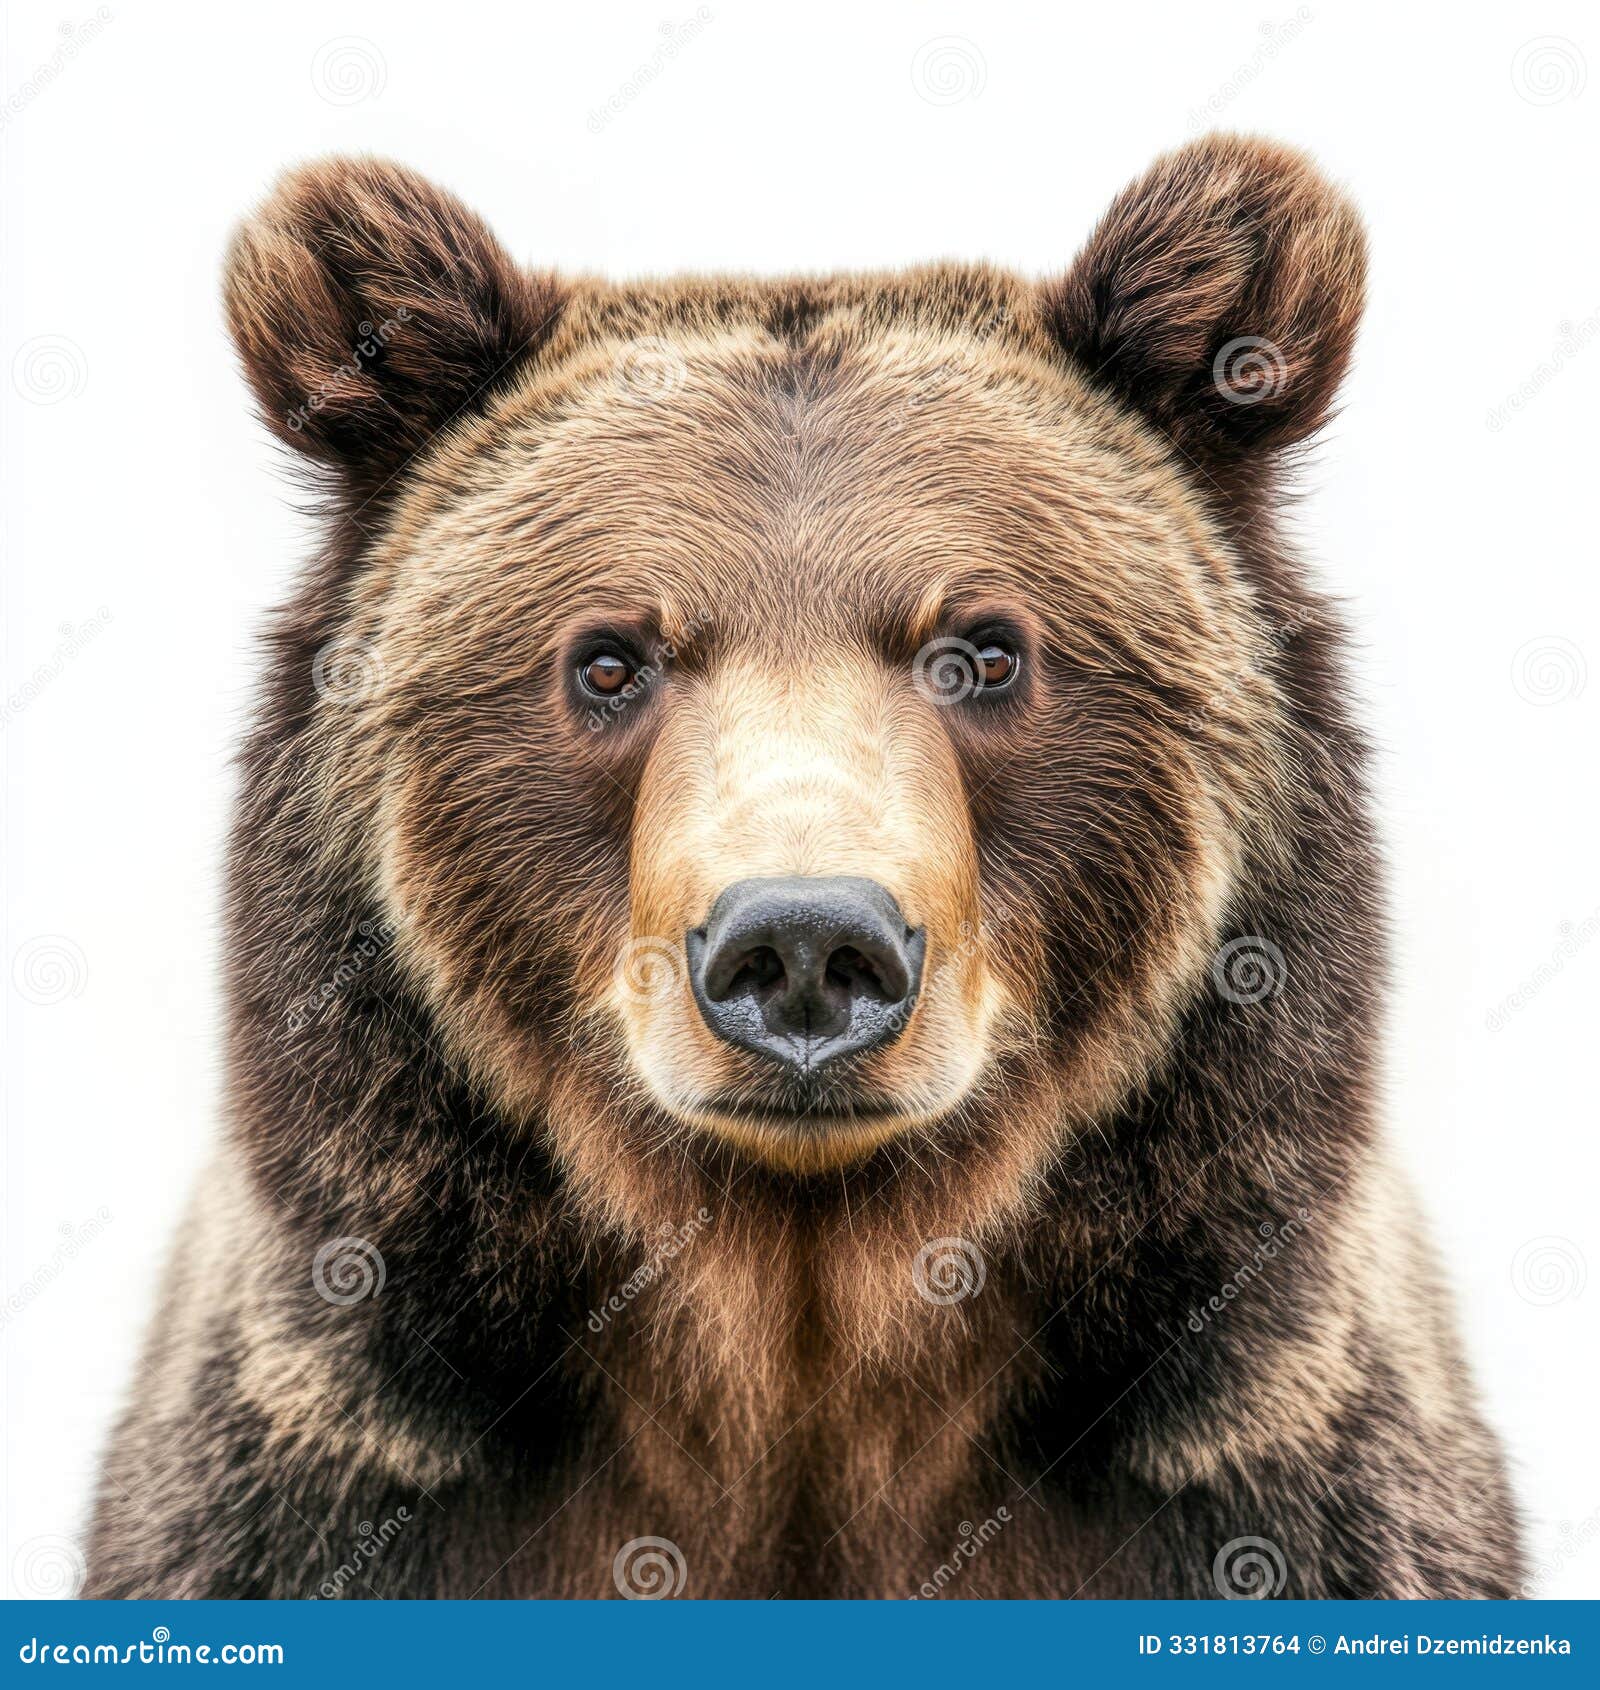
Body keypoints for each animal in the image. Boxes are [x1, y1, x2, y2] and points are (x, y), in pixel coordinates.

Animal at [84, 135, 1523, 1600]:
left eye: (983, 650)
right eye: (609, 659)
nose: (806, 948)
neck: (799, 1311)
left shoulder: (1261, 1483)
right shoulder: (336, 1486)